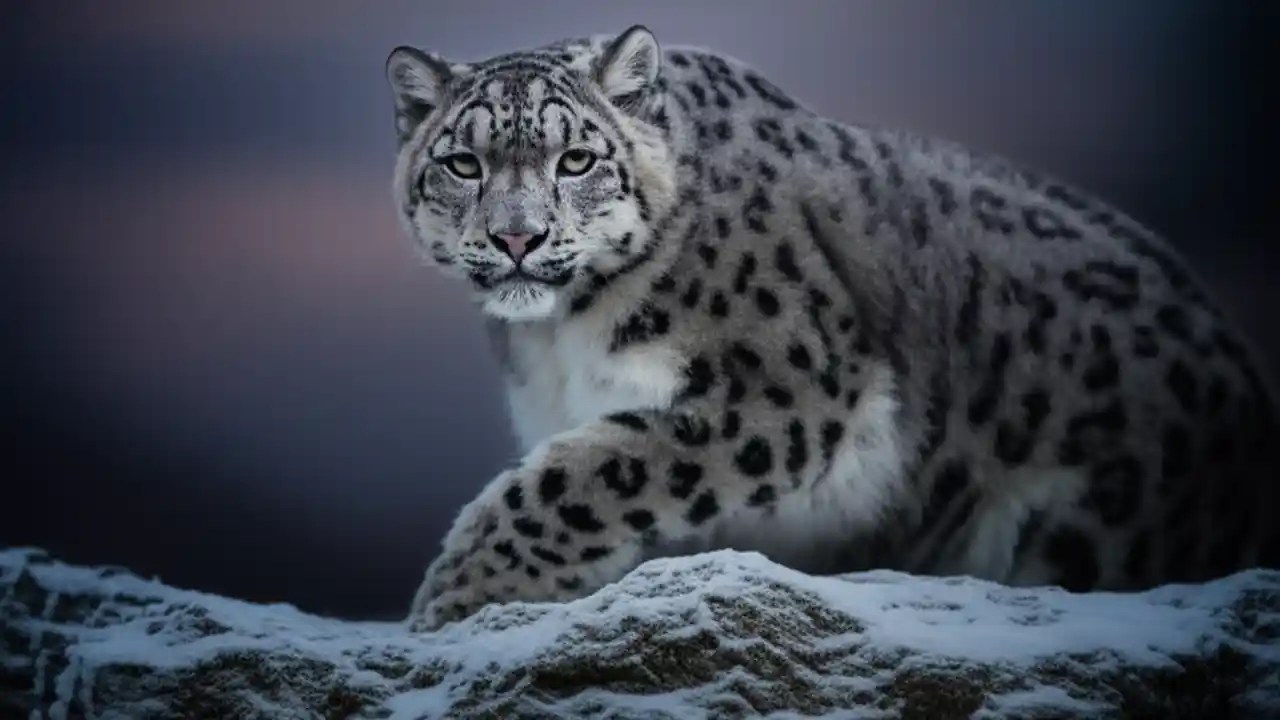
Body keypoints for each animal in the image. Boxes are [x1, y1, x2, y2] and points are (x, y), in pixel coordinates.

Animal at [383, 26, 1277, 631]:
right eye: (463, 164)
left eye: (576, 160)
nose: (518, 238)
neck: (560, 339)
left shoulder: (780, 392)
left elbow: (583, 475)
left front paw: (452, 593)